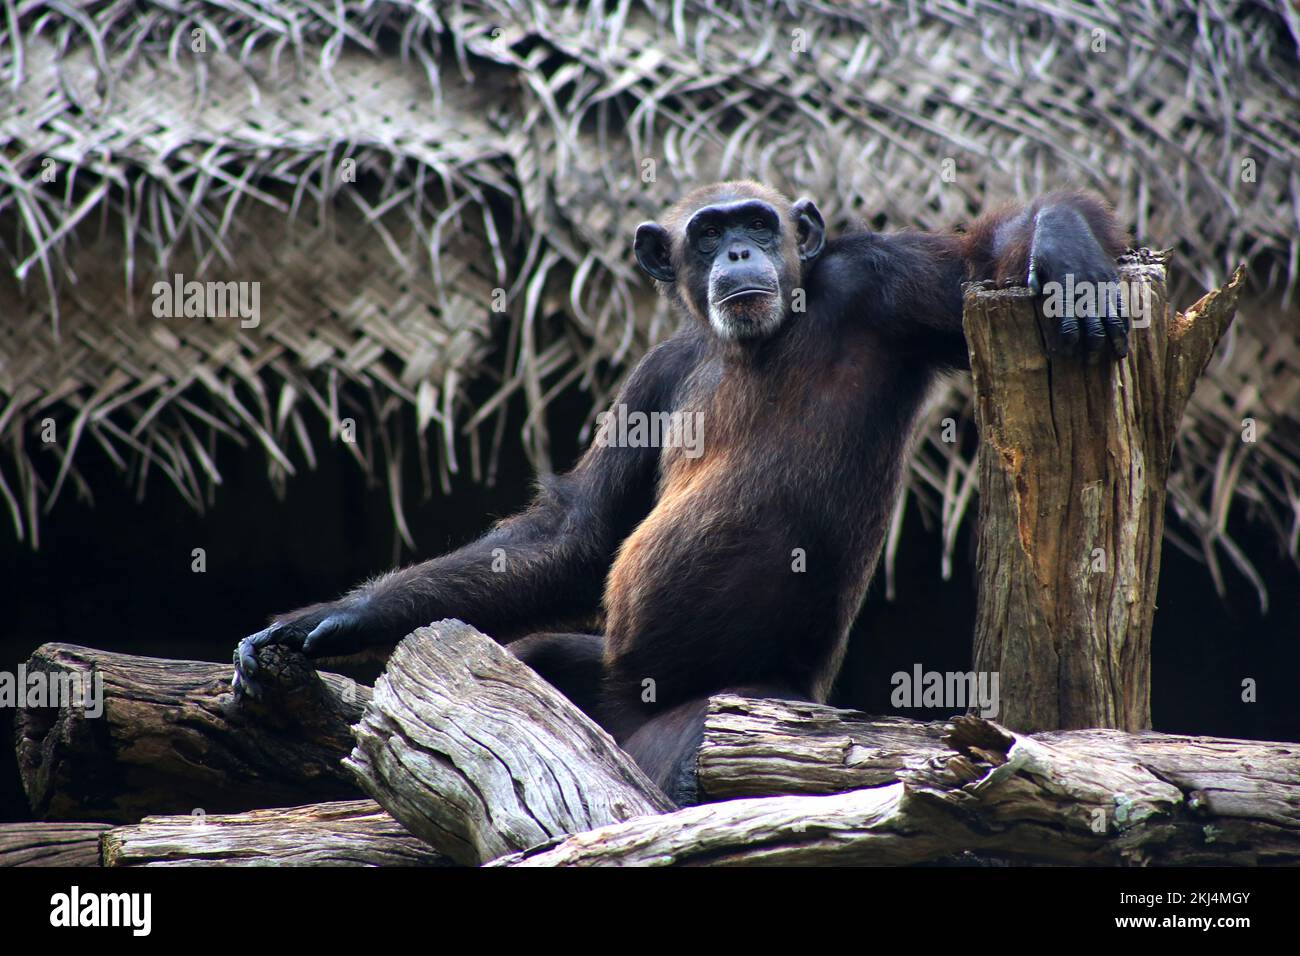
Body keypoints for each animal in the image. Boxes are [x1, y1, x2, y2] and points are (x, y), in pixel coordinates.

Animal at [232, 180, 1128, 804]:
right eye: (707, 231)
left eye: (758, 222)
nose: (735, 253)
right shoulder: (651, 376)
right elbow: (578, 533)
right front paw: (331, 618)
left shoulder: (883, 279)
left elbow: (975, 263)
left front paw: (1064, 243)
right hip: (608, 681)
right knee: (537, 659)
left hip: (744, 705)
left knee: (692, 758)